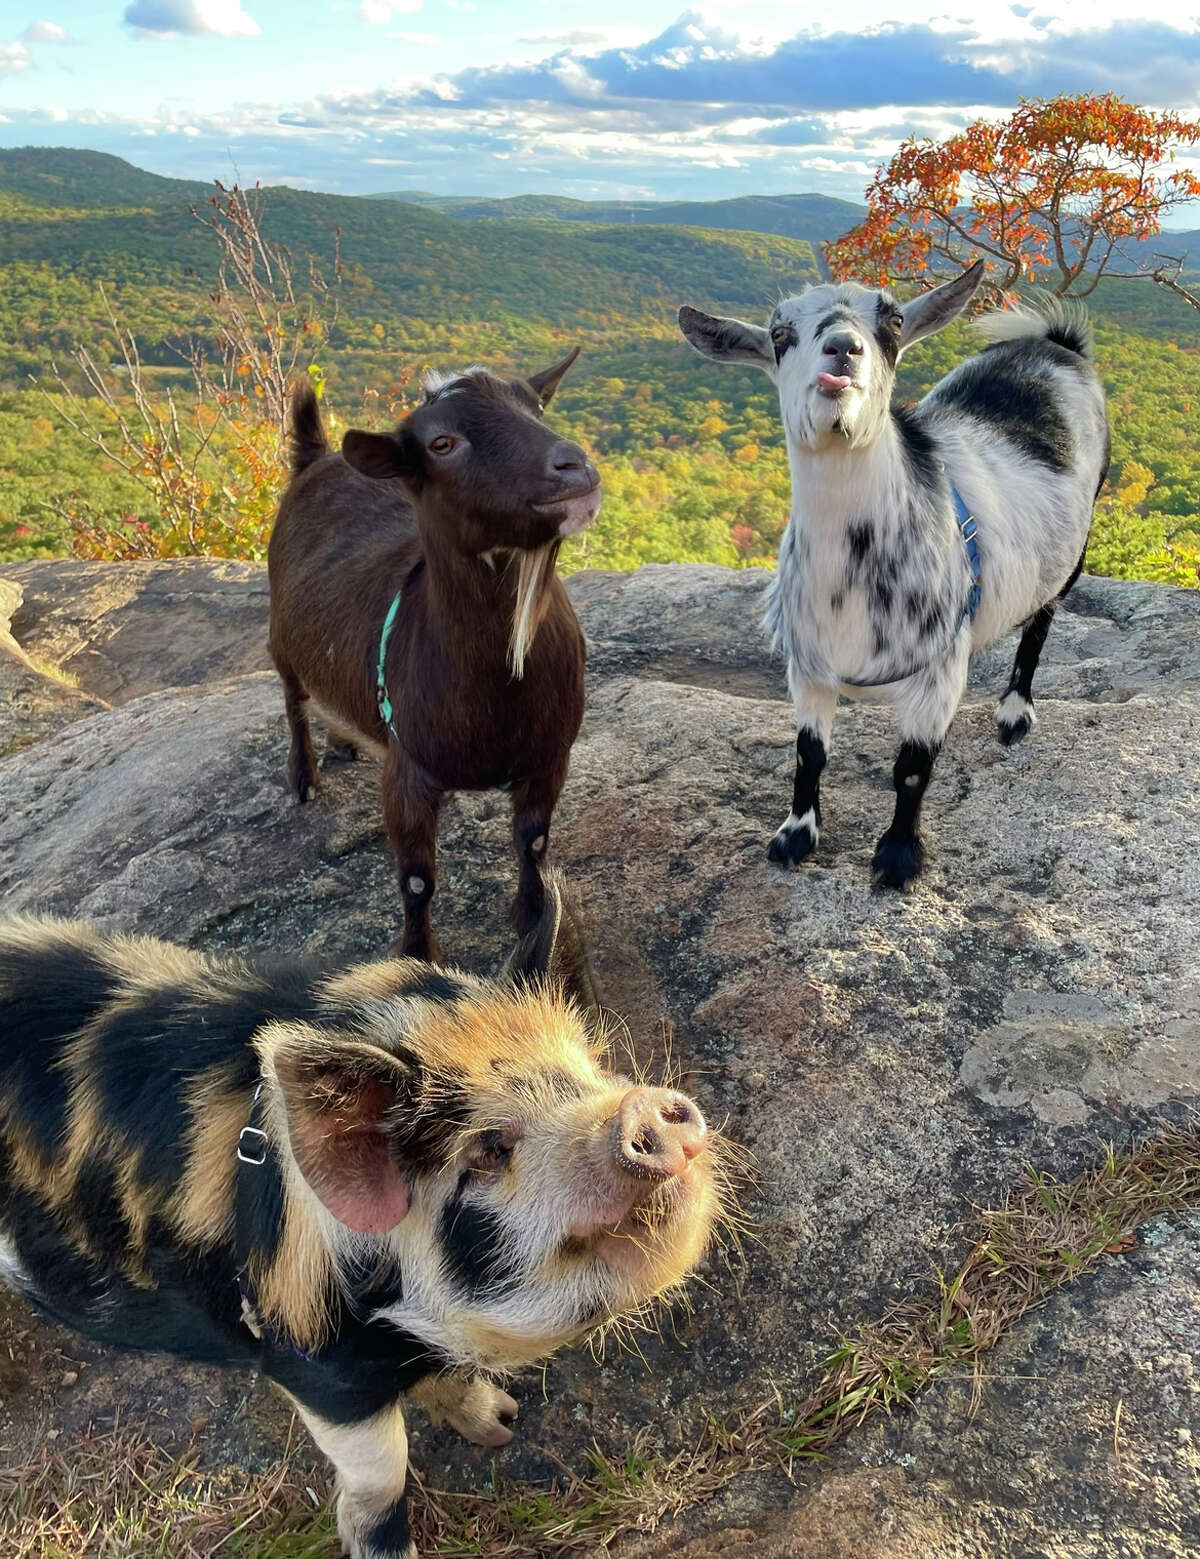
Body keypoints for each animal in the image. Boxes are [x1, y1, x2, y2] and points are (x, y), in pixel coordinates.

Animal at [269, 353, 601, 959]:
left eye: (536, 407)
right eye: (442, 443)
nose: (575, 466)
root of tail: (319, 458)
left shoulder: (550, 755)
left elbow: (533, 841)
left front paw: (532, 916)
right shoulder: (409, 769)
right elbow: (418, 878)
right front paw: (418, 955)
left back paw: (345, 740)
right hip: (280, 636)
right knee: (292, 700)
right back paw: (303, 777)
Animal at [679, 262, 1110, 888]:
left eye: (896, 321)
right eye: (779, 333)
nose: (843, 347)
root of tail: (1055, 344)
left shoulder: (938, 669)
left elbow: (911, 768)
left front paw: (899, 858)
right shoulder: (808, 666)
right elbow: (809, 754)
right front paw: (795, 836)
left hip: (1076, 543)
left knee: (1041, 619)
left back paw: (1014, 712)